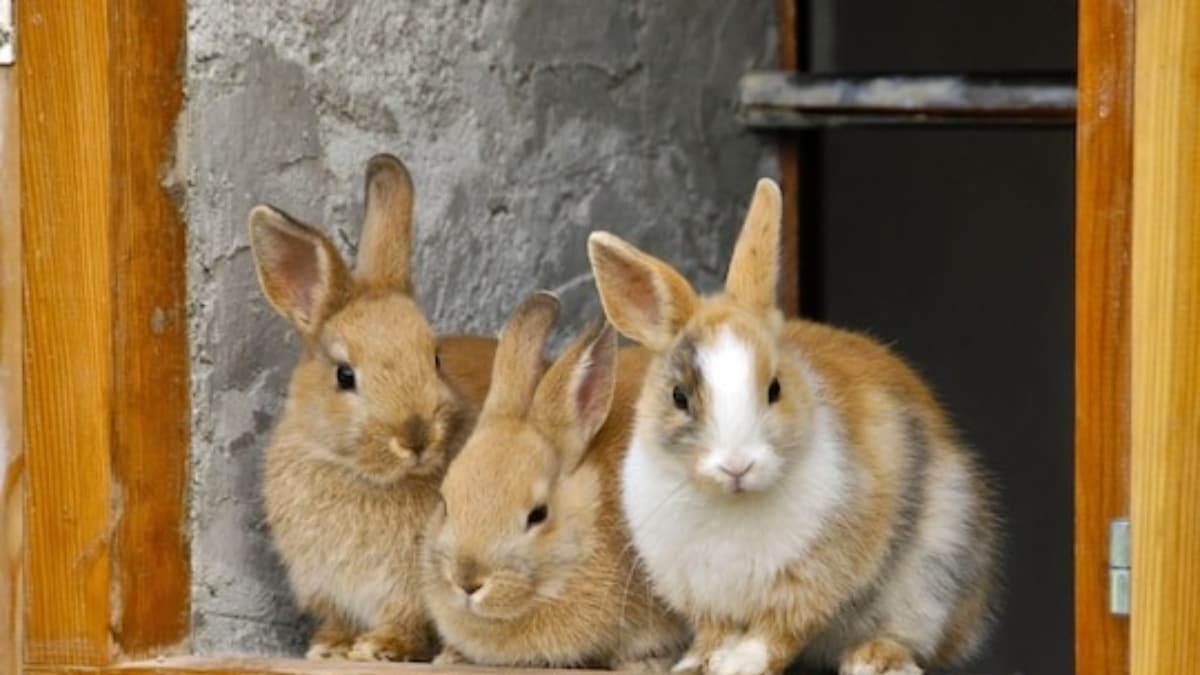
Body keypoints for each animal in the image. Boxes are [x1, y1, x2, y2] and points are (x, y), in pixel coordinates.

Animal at [248, 154, 497, 662]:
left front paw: (379, 648)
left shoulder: (410, 588)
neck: (361, 476)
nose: (416, 437)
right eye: (345, 376)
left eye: (435, 358)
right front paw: (329, 647)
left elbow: (407, 620)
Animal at [585, 178, 1000, 675]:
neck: (732, 503)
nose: (737, 466)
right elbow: (713, 630)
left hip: (934, 574)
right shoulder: (700, 591)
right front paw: (697, 663)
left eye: (775, 389)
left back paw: (873, 659)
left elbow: (779, 630)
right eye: (679, 397)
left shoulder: (811, 579)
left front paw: (740, 664)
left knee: (911, 637)